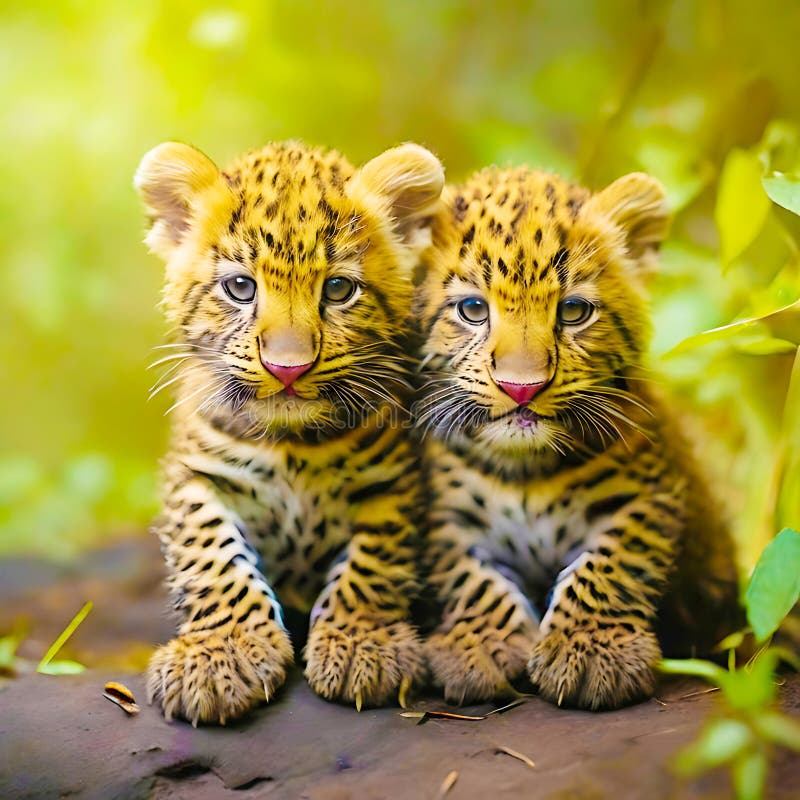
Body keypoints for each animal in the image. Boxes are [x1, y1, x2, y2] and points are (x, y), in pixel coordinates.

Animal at [135, 139, 444, 724]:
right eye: (240, 287)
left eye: (339, 289)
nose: (287, 369)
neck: (291, 443)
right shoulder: (196, 476)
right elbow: (212, 555)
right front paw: (219, 655)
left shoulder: (392, 480)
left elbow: (374, 560)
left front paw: (362, 645)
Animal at [413, 165, 743, 710]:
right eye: (473, 309)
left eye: (572, 312)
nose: (521, 386)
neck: (524, 471)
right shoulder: (446, 517)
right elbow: (468, 576)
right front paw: (479, 646)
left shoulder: (647, 493)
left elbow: (610, 565)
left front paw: (592, 653)